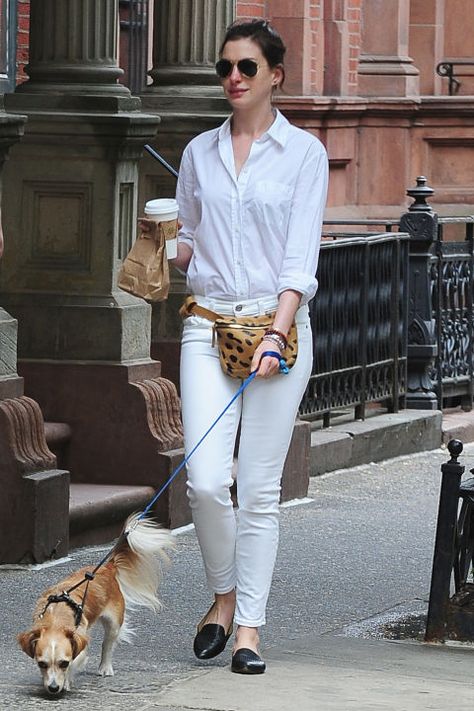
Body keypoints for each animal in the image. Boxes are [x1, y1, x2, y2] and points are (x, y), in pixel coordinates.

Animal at [18, 516, 175, 700]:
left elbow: (76, 662)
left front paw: (66, 682)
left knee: (107, 645)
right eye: (42, 664)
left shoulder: (79, 645)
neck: (57, 615)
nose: (53, 688)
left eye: (64, 663)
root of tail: (108, 567)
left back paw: (105, 668)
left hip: (114, 624)